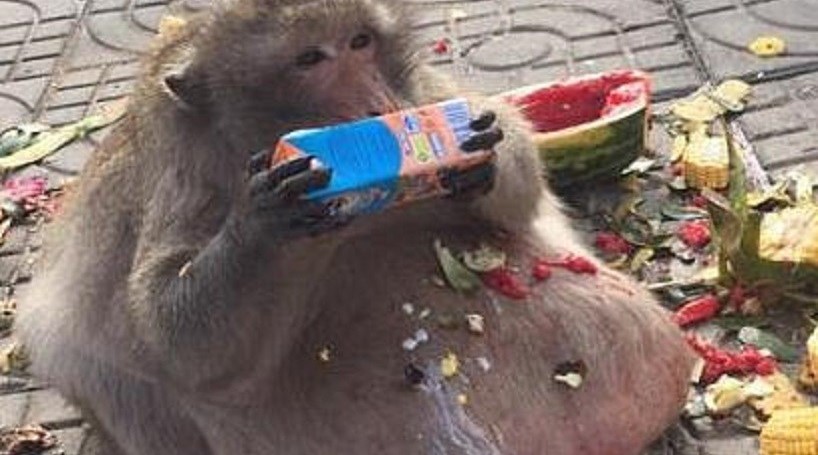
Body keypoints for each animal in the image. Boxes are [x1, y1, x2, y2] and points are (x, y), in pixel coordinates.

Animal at [14, 0, 696, 454]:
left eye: (361, 40)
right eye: (310, 58)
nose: (377, 105)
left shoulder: (419, 87)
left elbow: (521, 194)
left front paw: (481, 152)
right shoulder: (181, 173)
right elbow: (177, 341)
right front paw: (265, 222)